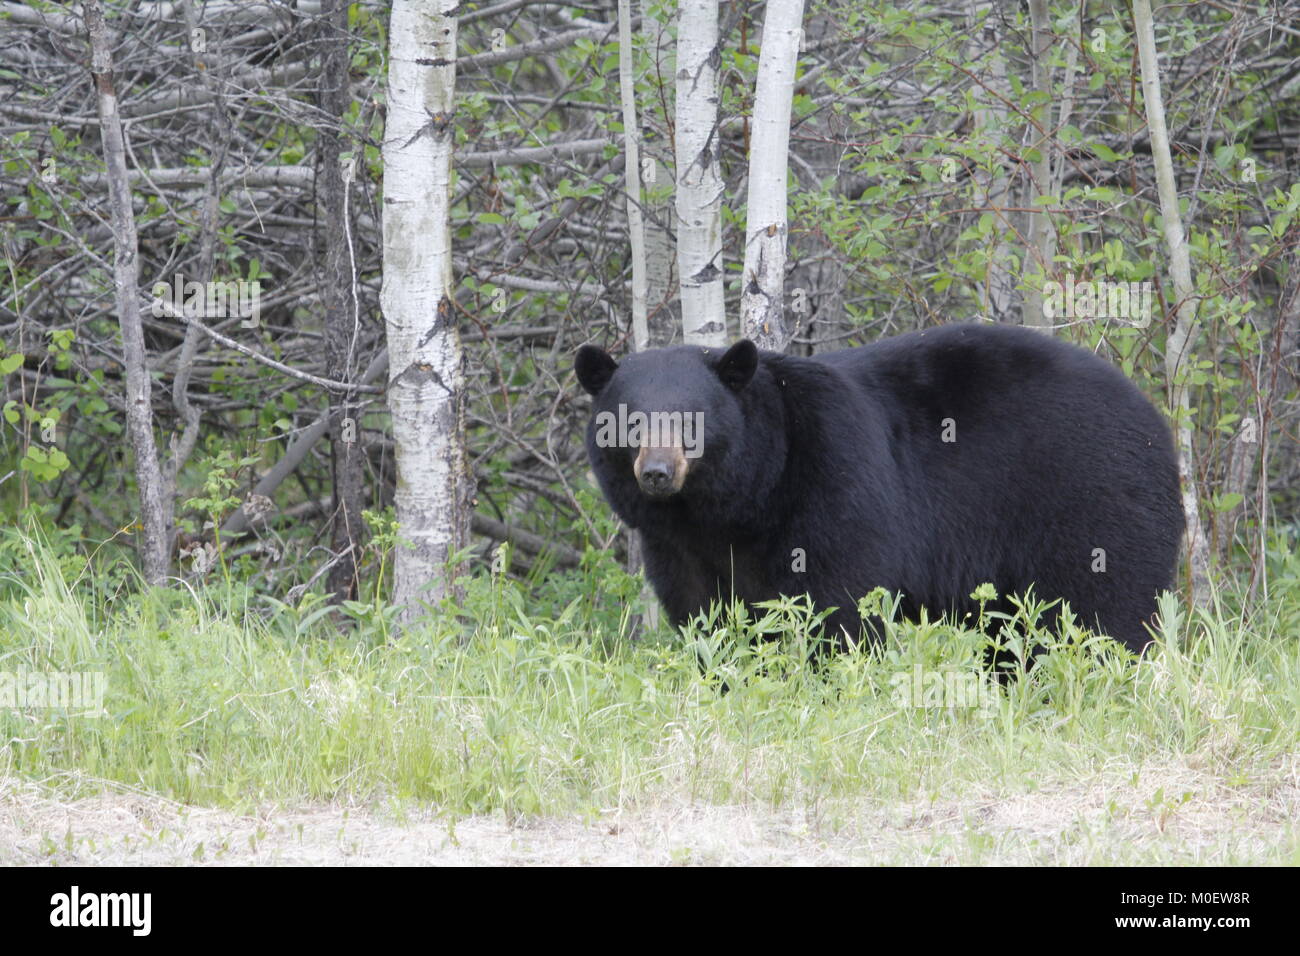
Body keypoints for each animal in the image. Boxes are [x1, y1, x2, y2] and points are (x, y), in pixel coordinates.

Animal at [574, 322, 1184, 654]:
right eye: (631, 421)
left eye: (690, 421)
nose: (657, 472)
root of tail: (1156, 423)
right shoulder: (676, 543)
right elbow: (704, 611)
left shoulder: (833, 476)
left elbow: (840, 596)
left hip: (1093, 500)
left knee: (1101, 610)